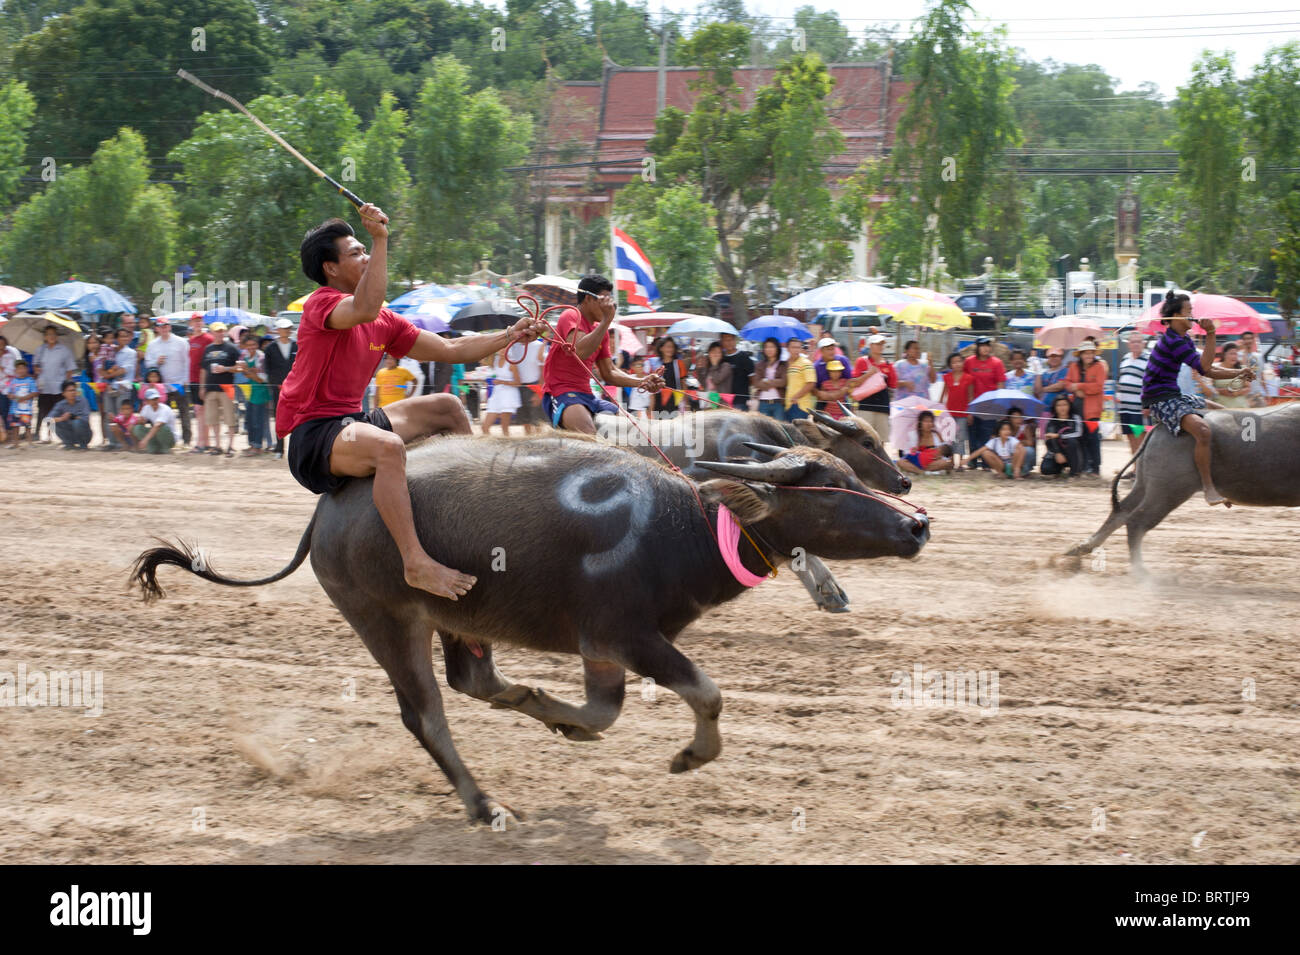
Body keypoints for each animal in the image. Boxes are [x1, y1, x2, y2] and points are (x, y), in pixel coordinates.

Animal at [132, 435, 928, 824]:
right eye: (833, 486)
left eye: (850, 471)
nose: (918, 521)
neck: (683, 525)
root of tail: (330, 503)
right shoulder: (625, 635)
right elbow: (705, 692)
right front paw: (689, 756)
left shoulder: (603, 650)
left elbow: (603, 711)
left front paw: (560, 718)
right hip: (385, 619)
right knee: (426, 712)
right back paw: (483, 803)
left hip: (455, 617)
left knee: (472, 677)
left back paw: (521, 704)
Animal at [1066, 403, 1299, 575]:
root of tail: (1160, 426)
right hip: (1167, 492)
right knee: (1136, 522)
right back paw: (1141, 572)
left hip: (1146, 486)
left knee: (1120, 511)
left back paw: (1079, 548)